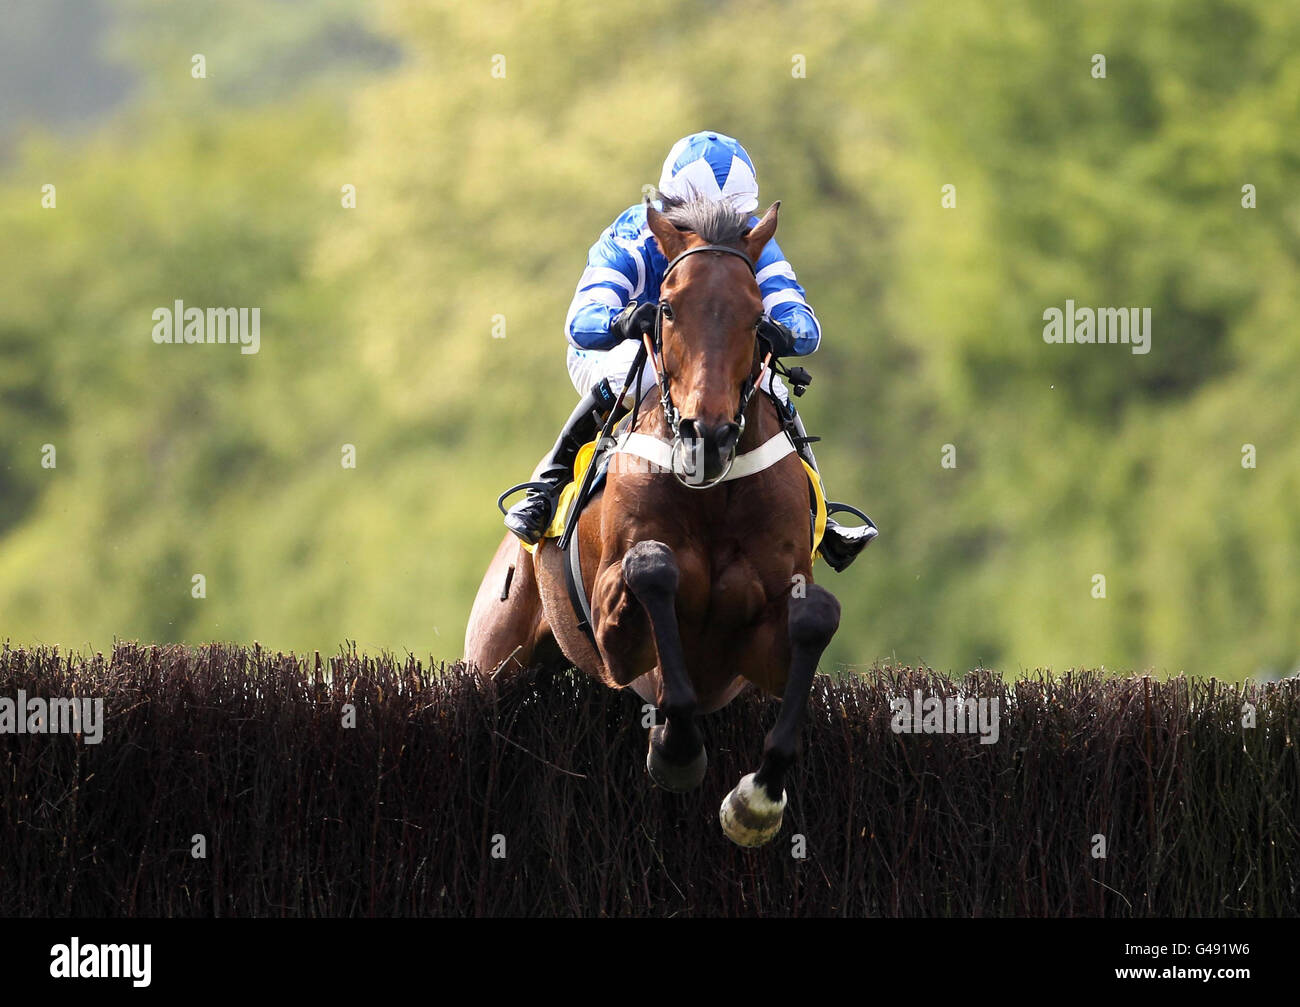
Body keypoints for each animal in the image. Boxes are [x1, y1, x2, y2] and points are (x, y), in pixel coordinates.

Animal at [464, 195, 841, 847]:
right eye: (666, 308)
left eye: (757, 317)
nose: (705, 437)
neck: (712, 494)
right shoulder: (616, 637)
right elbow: (654, 568)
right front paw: (676, 750)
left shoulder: (754, 655)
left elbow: (816, 614)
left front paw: (757, 800)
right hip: (492, 664)